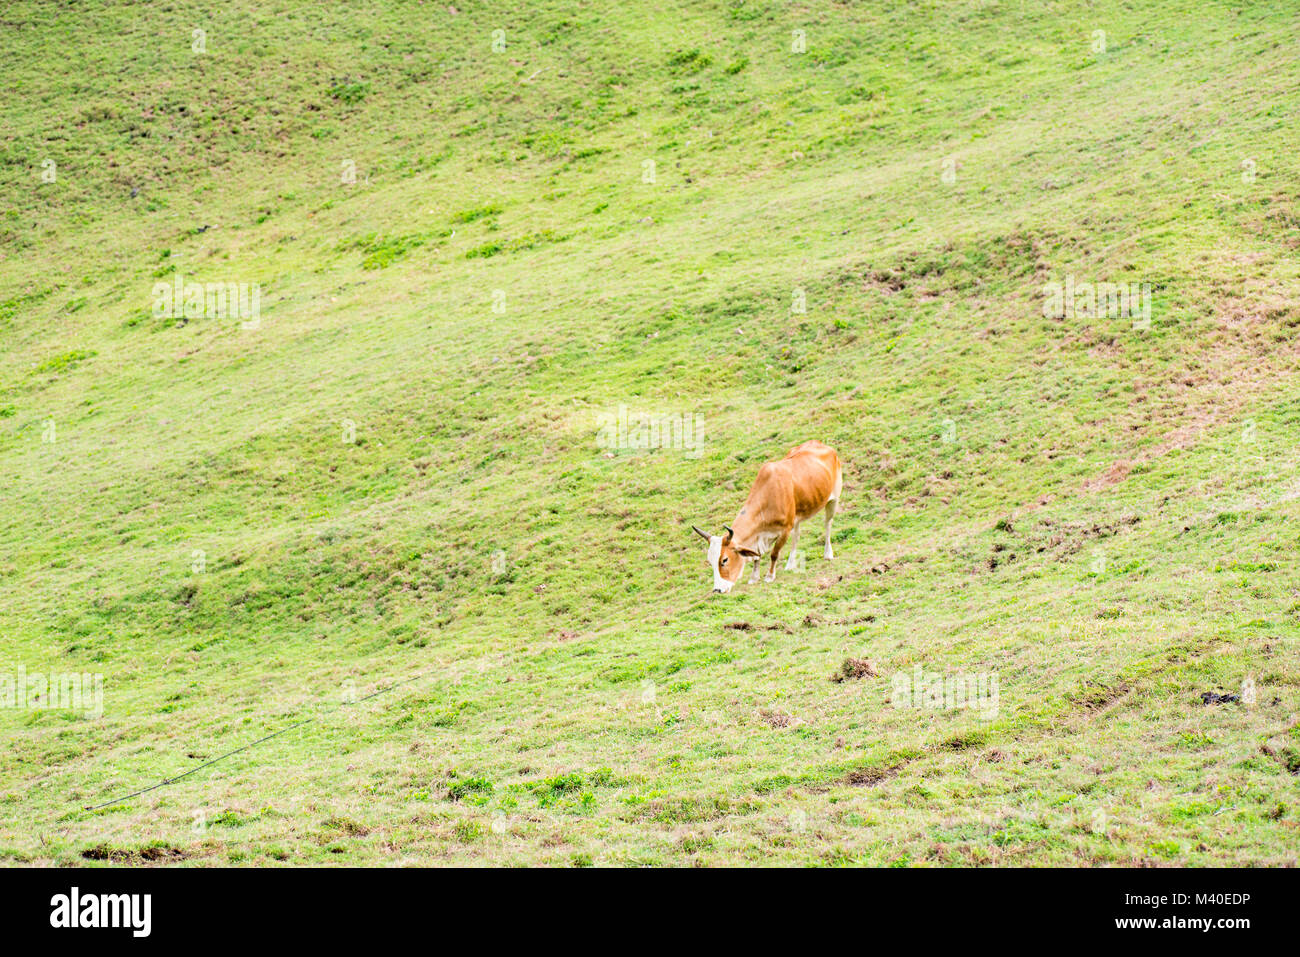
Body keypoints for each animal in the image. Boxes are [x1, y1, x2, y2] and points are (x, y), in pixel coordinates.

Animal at [693, 440, 842, 593]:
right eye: (710, 561)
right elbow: (757, 556)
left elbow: (774, 554)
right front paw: (754, 577)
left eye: (724, 560)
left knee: (828, 524)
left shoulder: (785, 530)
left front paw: (770, 576)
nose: (717, 589)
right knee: (797, 535)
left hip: (833, 499)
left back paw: (828, 554)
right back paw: (790, 564)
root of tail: (820, 443)